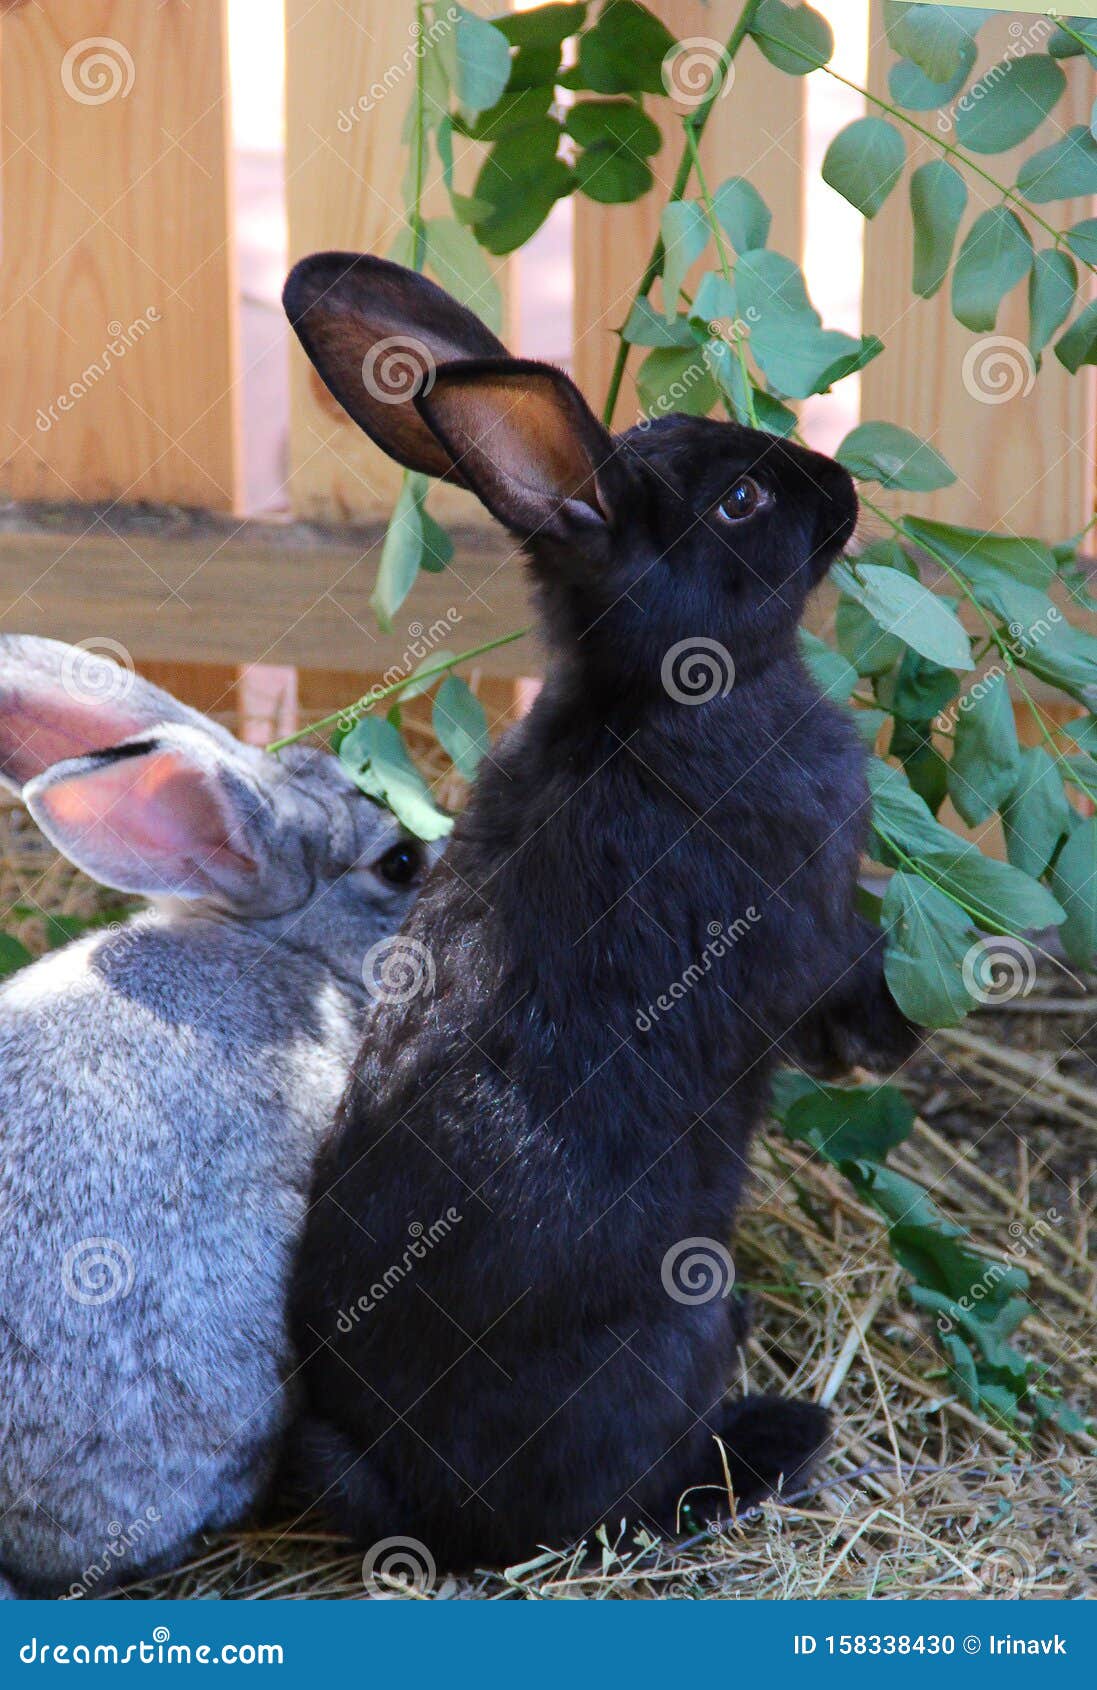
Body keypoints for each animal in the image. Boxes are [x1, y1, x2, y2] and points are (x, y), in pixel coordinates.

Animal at [282, 253, 920, 1572]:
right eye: (739, 501)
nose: (836, 487)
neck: (660, 698)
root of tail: (413, 1487)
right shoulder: (815, 926)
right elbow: (848, 978)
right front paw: (890, 1041)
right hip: (680, 1321)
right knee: (616, 1504)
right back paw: (776, 1439)